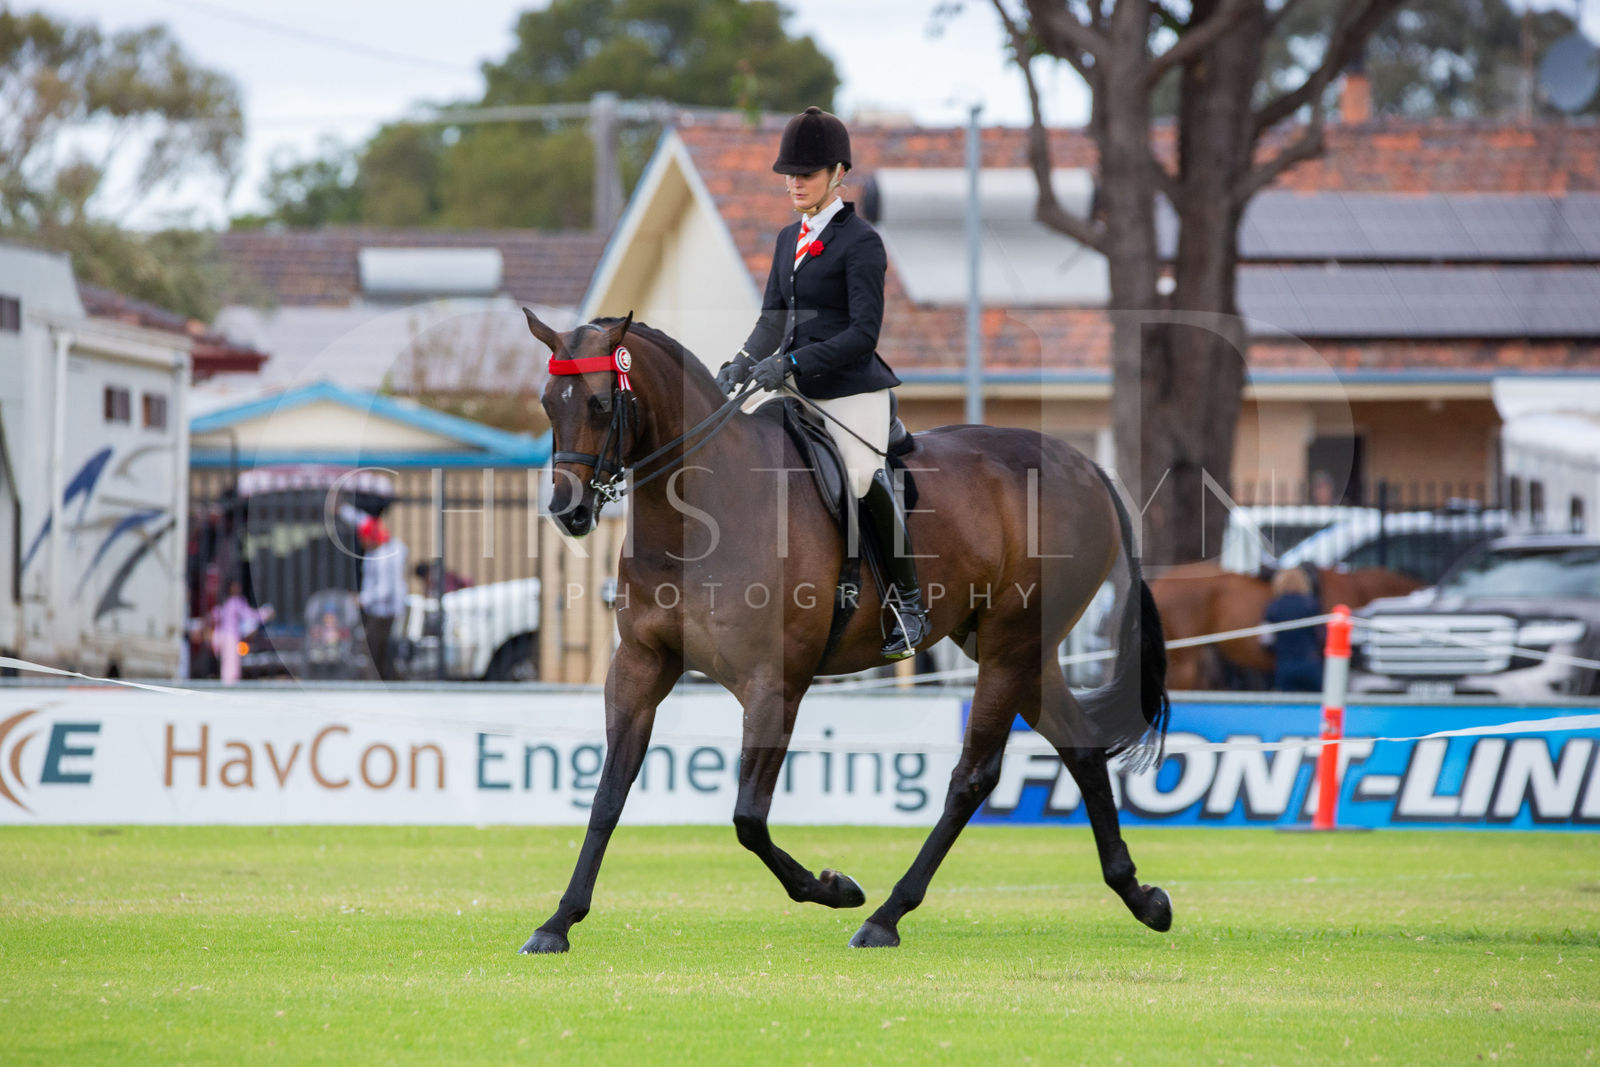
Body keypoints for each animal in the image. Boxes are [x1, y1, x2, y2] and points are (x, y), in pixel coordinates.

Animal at [518, 309, 1173, 953]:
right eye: (548, 402)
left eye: (602, 403)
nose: (570, 512)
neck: (701, 514)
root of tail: (1087, 467)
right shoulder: (640, 666)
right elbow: (608, 794)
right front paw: (558, 922)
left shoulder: (775, 684)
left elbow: (748, 817)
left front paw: (833, 888)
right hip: (1014, 650)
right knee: (1081, 746)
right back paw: (1140, 896)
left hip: (1011, 647)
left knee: (973, 776)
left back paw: (886, 915)